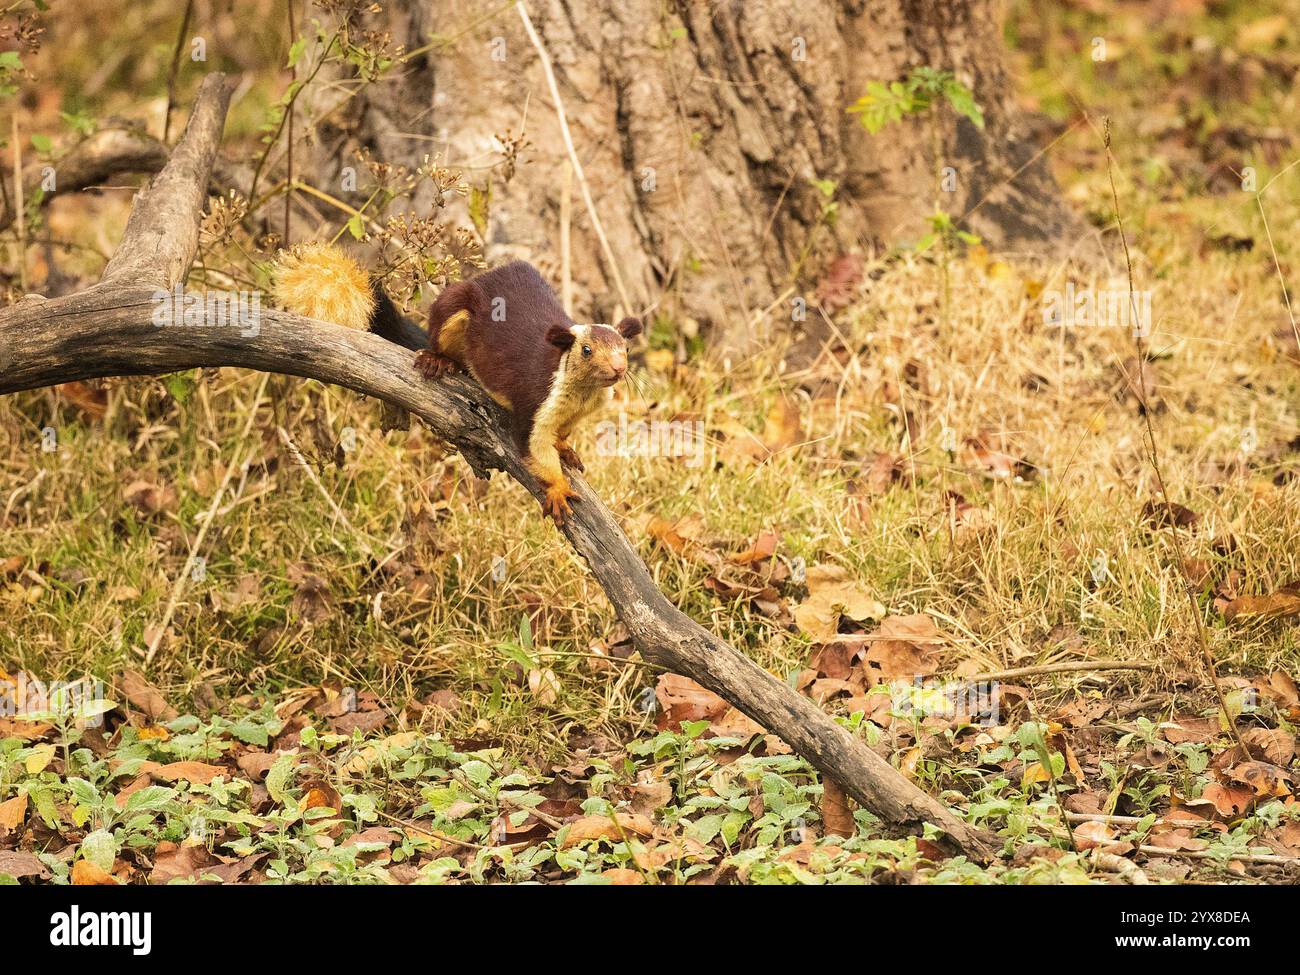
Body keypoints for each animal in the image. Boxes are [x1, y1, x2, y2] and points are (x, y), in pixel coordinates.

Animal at [271, 243, 642, 524]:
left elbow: (561, 435)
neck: (581, 397)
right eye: (587, 349)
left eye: (624, 348)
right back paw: (439, 360)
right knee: (440, 340)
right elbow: (534, 450)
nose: (618, 368)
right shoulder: (534, 405)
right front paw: (559, 490)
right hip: (454, 310)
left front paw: (566, 448)